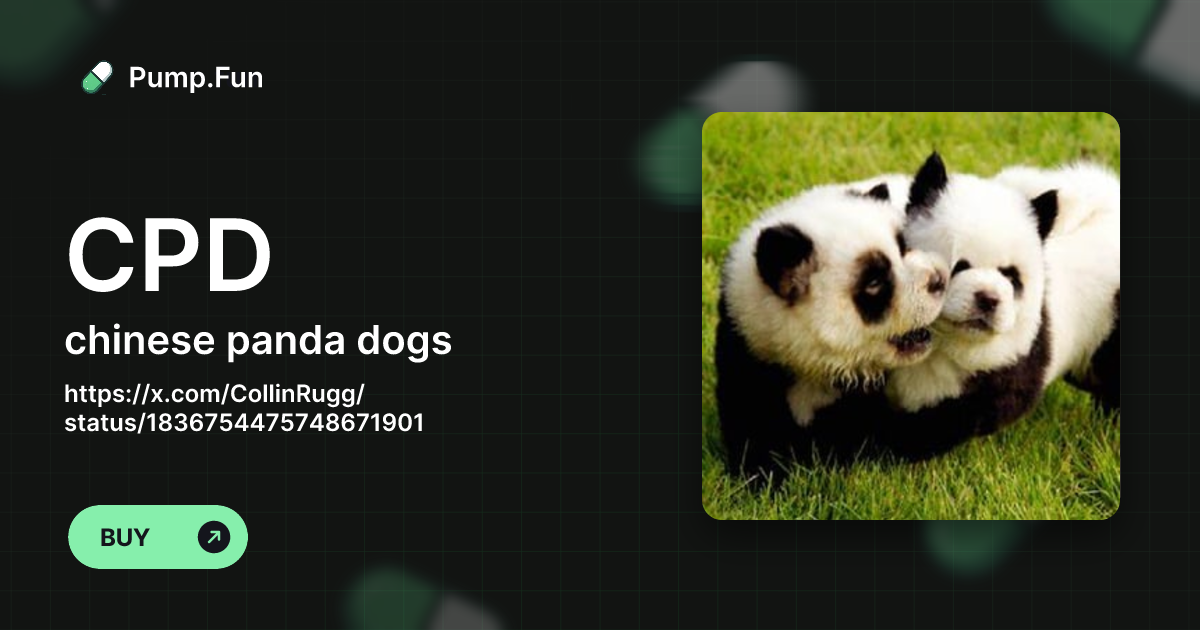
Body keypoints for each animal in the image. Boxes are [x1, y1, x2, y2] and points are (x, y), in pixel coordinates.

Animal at [716, 177, 949, 480]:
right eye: (873, 282)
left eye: (904, 248)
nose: (939, 279)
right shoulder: (748, 347)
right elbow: (750, 421)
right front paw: (761, 476)